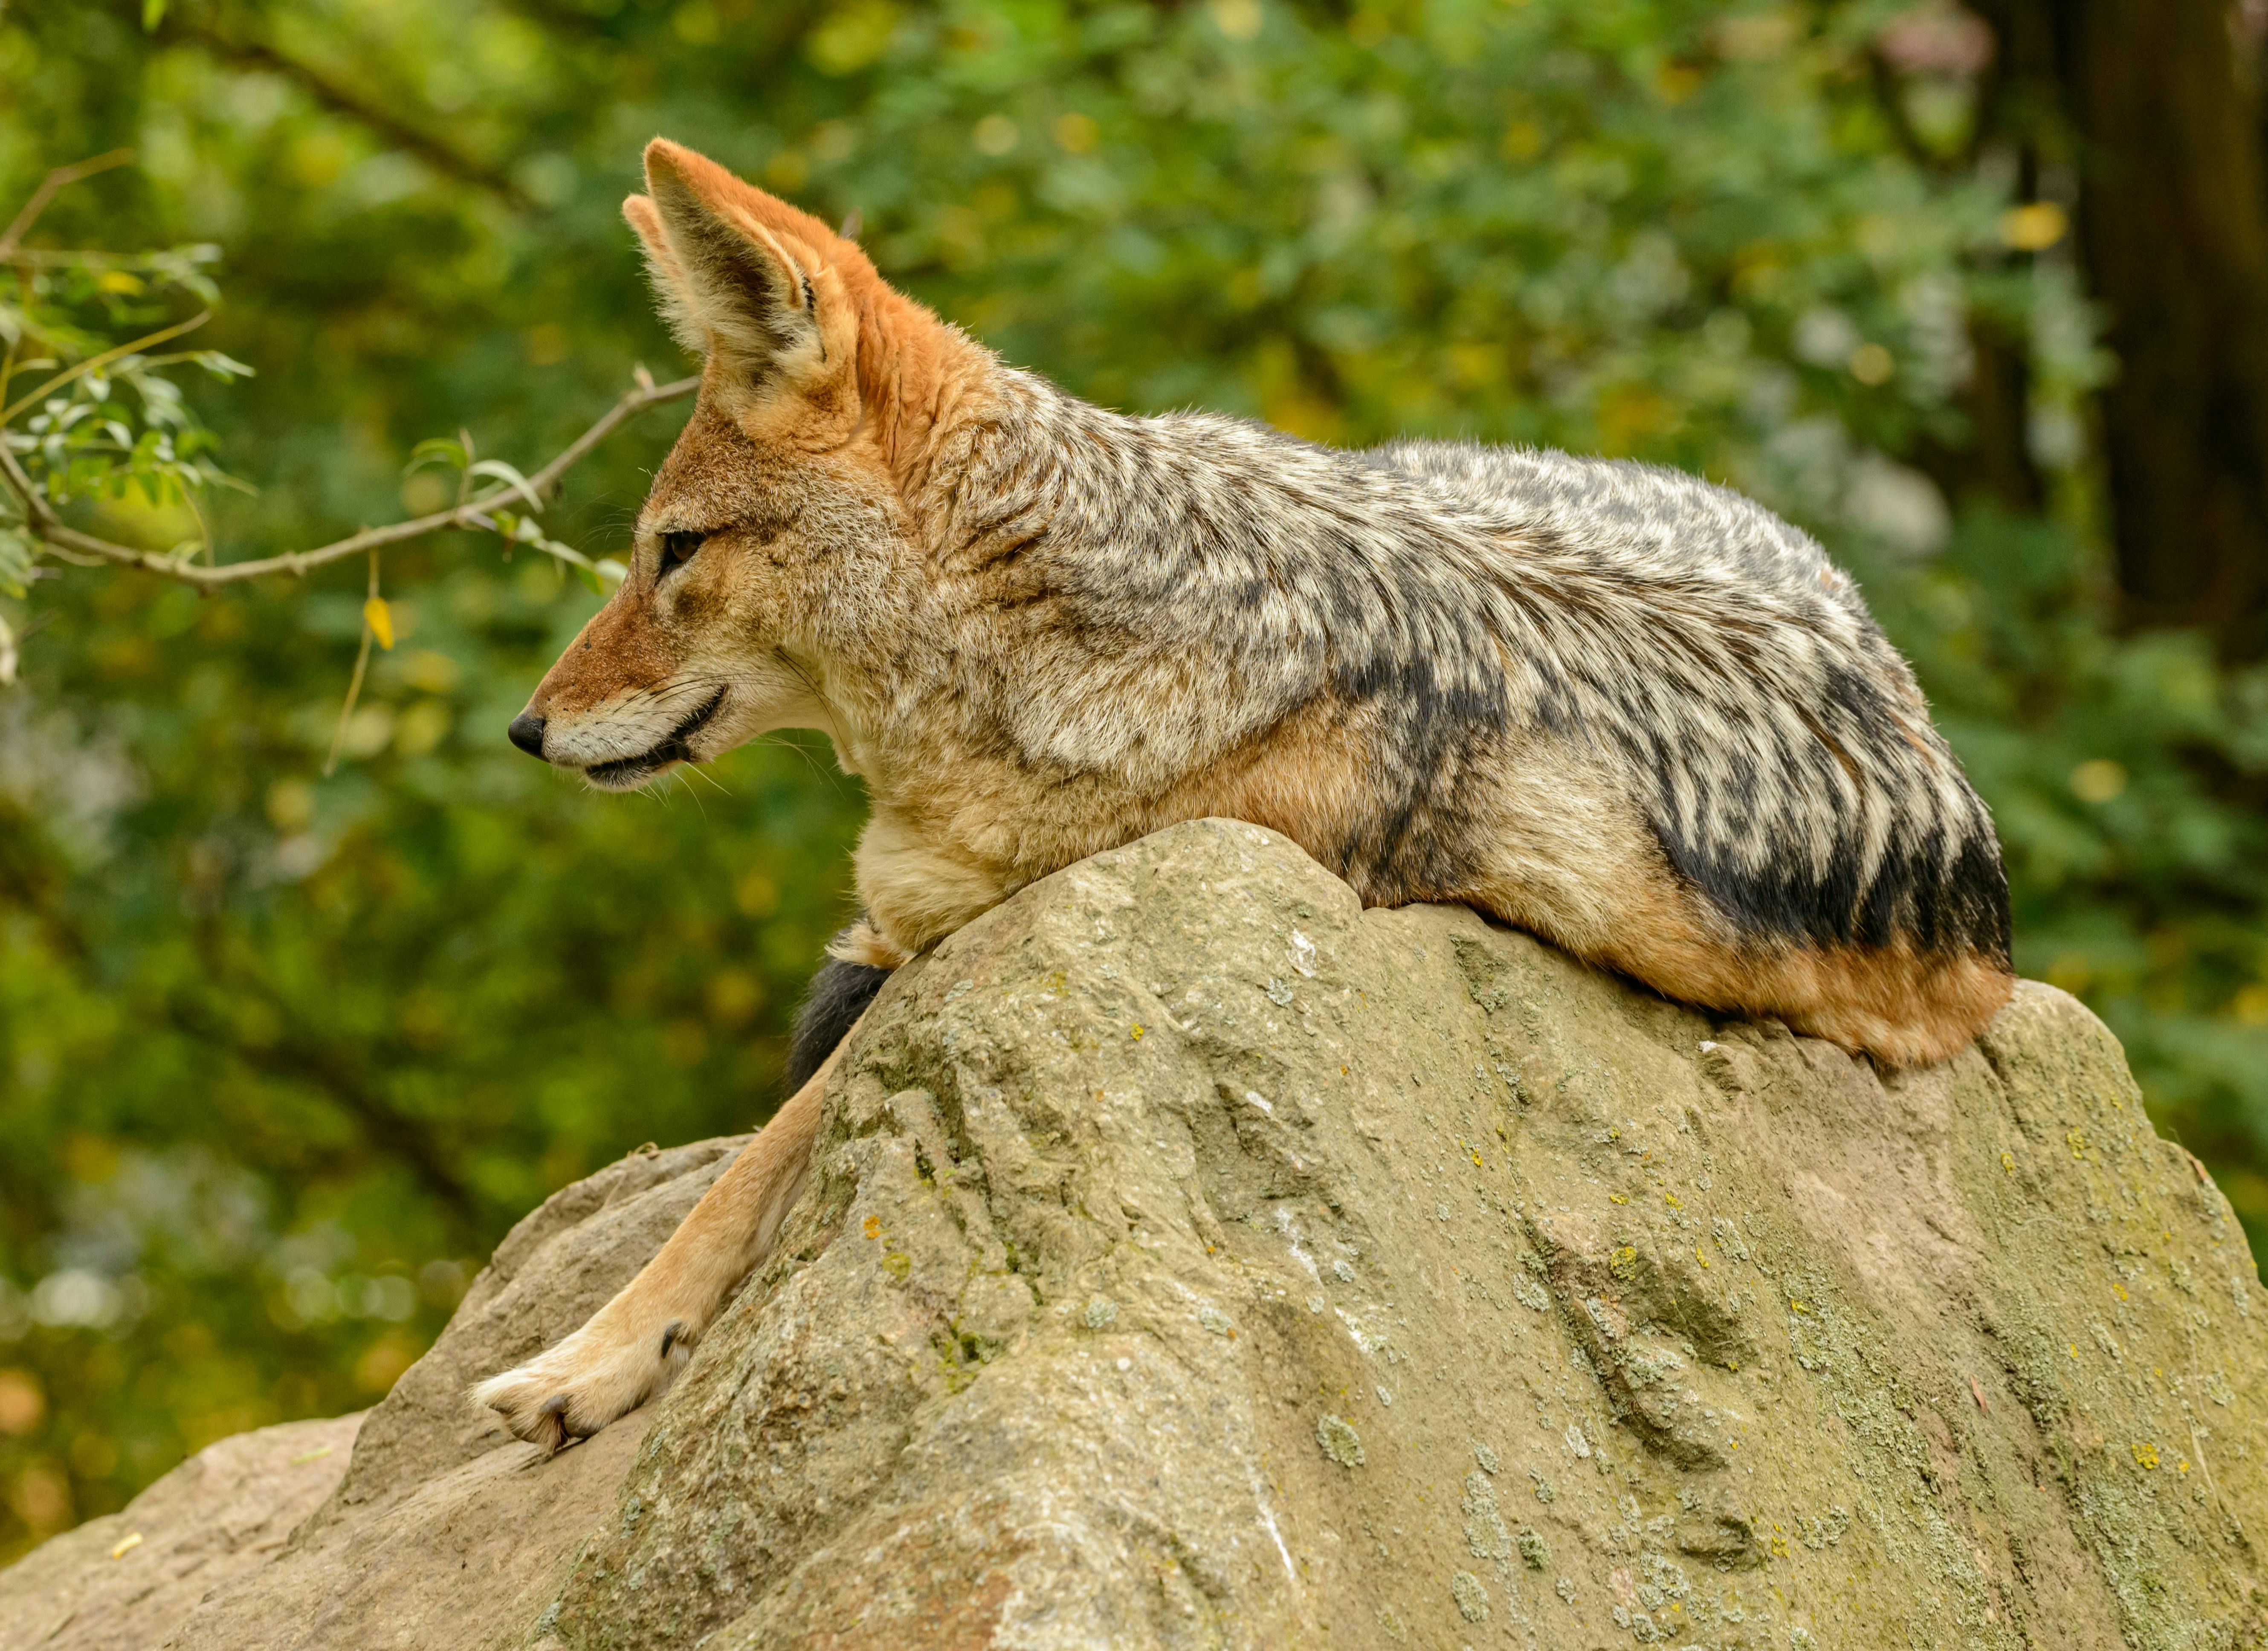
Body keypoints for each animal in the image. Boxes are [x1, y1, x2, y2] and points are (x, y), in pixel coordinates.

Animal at [472, 138, 2013, 1449]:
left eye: (671, 552)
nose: (526, 729)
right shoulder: (926, 929)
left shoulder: (1017, 928)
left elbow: (753, 1164)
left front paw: (583, 1360)